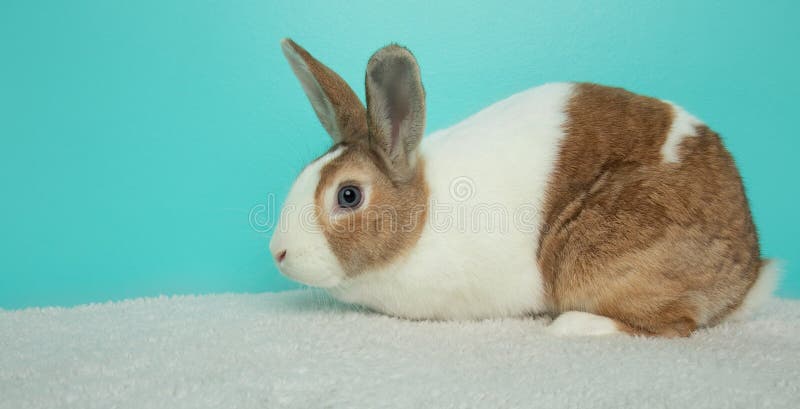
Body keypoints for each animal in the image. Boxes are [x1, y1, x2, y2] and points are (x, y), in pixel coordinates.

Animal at [269, 38, 778, 337]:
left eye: (348, 195)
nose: (278, 252)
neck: (421, 216)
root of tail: (746, 275)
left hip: (598, 255)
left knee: (675, 325)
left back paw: (573, 325)